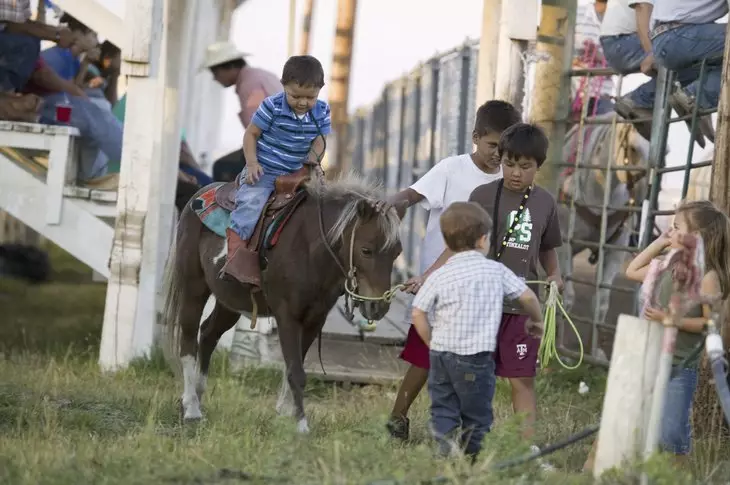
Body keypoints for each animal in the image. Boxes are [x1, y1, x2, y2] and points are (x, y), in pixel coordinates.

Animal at [159, 170, 400, 432]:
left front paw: (285, 414)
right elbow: (295, 370)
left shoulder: (314, 320)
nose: (378, 306)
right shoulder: (287, 316)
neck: (309, 247)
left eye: (397, 252)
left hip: (230, 301)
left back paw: (198, 395)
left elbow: (294, 367)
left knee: (208, 333)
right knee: (188, 339)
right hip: (194, 287)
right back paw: (191, 407)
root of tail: (198, 196)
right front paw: (301, 425)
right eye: (366, 250)